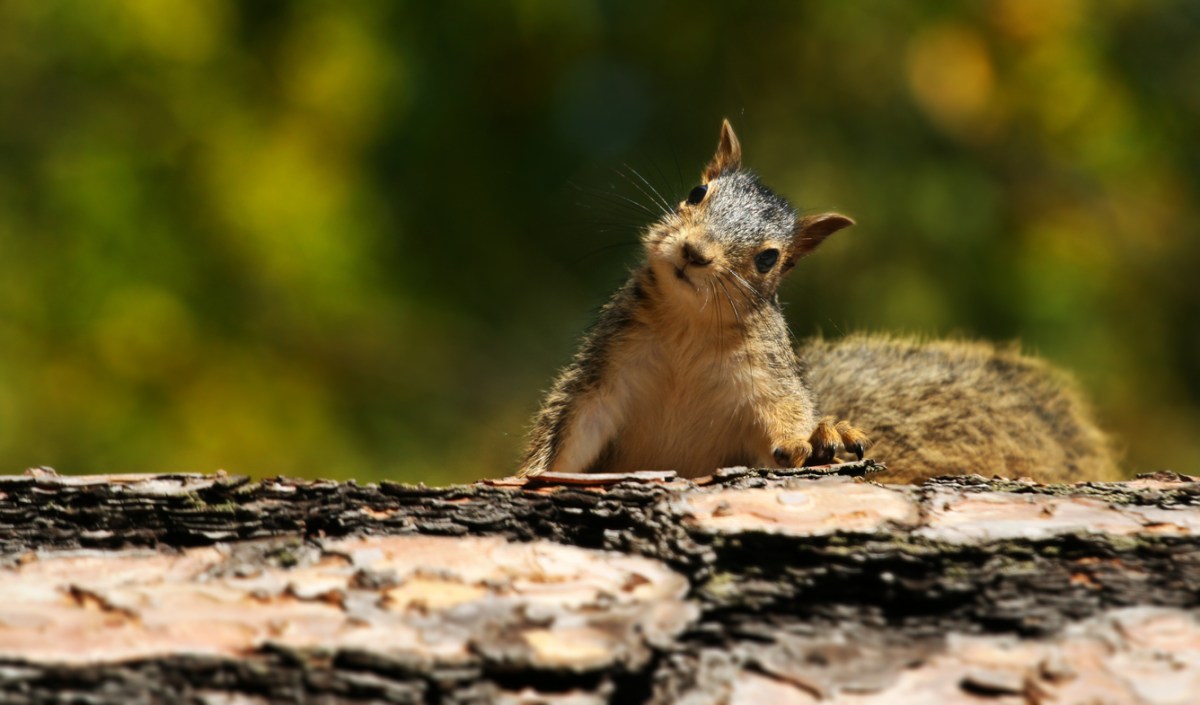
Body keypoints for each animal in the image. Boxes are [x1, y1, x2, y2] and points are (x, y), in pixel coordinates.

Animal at [520, 120, 1119, 484]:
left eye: (769, 258)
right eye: (696, 193)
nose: (695, 252)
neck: (689, 329)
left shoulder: (764, 390)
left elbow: (781, 432)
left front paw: (812, 437)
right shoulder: (609, 372)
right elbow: (568, 435)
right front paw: (529, 475)